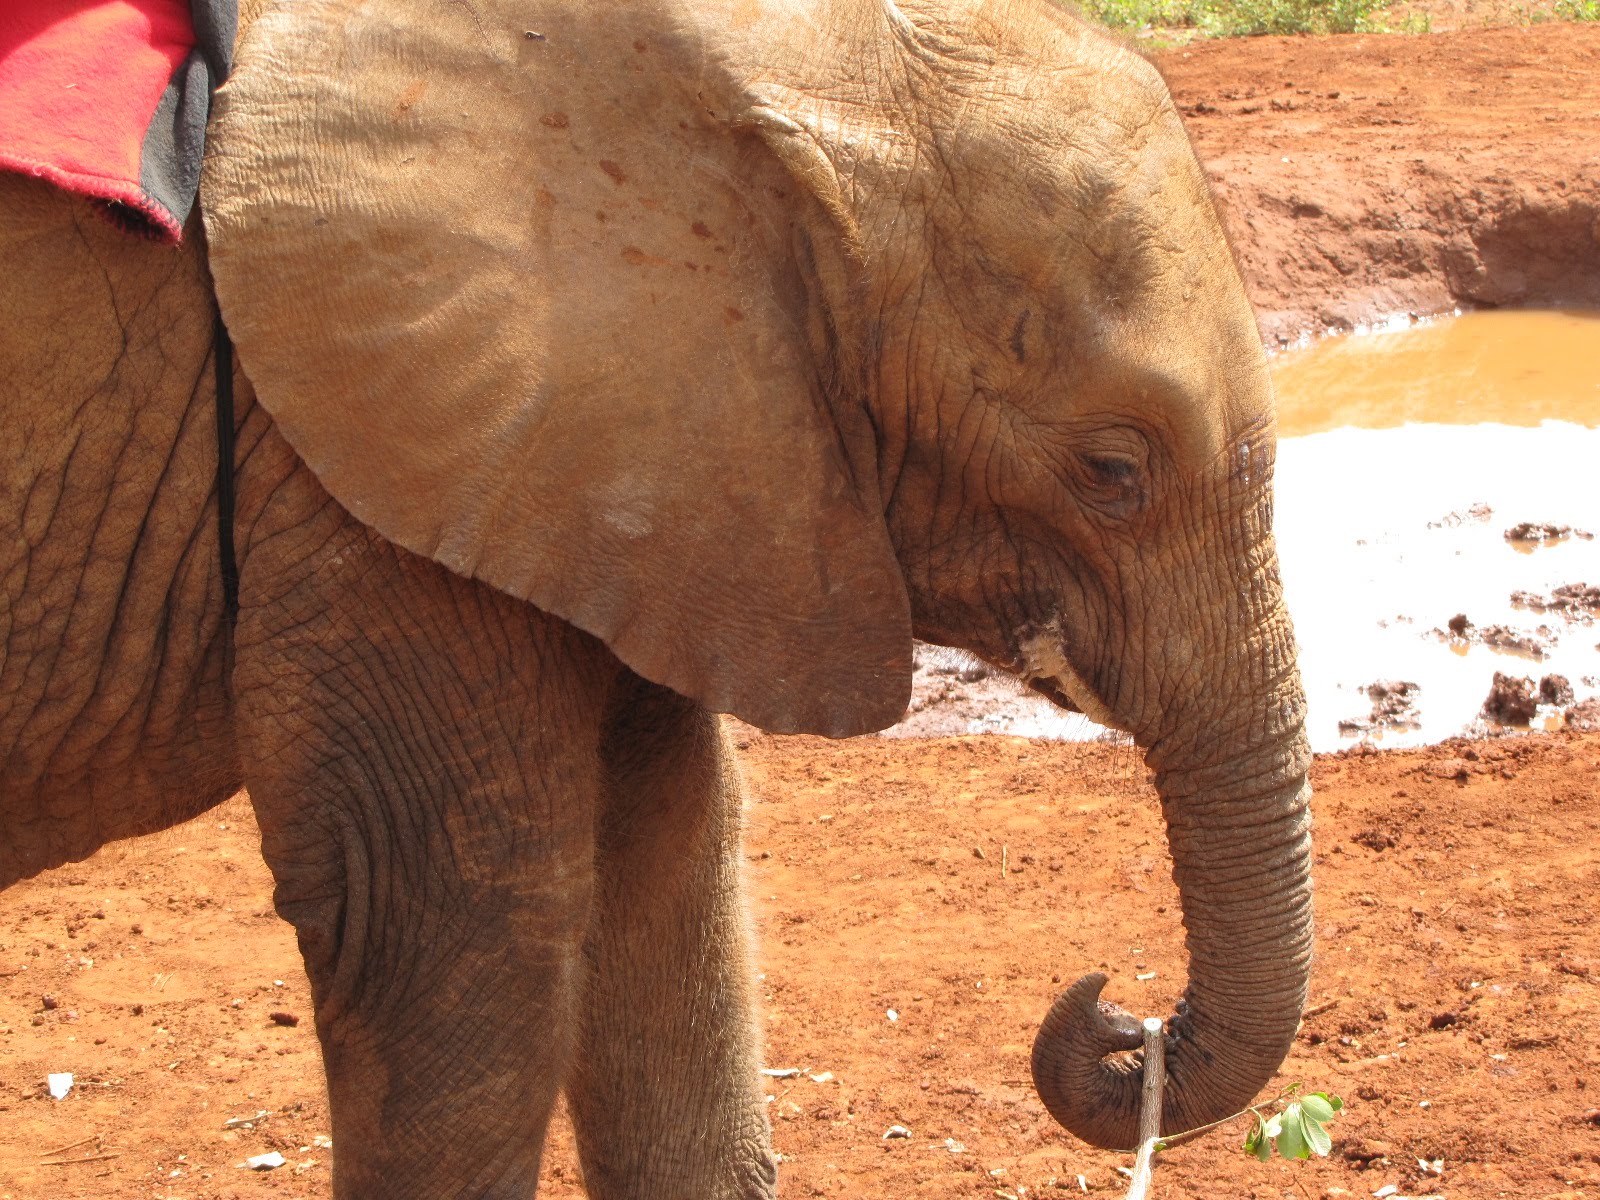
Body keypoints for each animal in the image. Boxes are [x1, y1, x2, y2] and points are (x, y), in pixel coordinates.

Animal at [0, 0, 1313, 1195]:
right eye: (1112, 471)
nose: (1114, 1011)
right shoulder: (358, 459)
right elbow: (445, 928)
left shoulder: (639, 455)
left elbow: (670, 860)